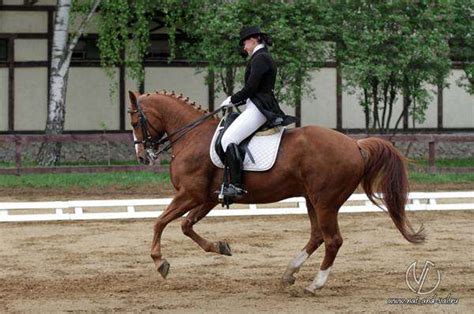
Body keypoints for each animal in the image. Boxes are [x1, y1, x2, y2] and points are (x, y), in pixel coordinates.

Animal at [128, 90, 424, 294]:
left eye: (134, 122)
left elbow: (160, 222)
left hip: (325, 201)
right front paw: (221, 247)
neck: (192, 137)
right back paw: (289, 273)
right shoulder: (208, 198)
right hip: (312, 200)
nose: (143, 157)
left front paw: (160, 263)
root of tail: (355, 145)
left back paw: (314, 285)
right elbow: (186, 226)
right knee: (317, 236)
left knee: (333, 240)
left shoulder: (190, 194)